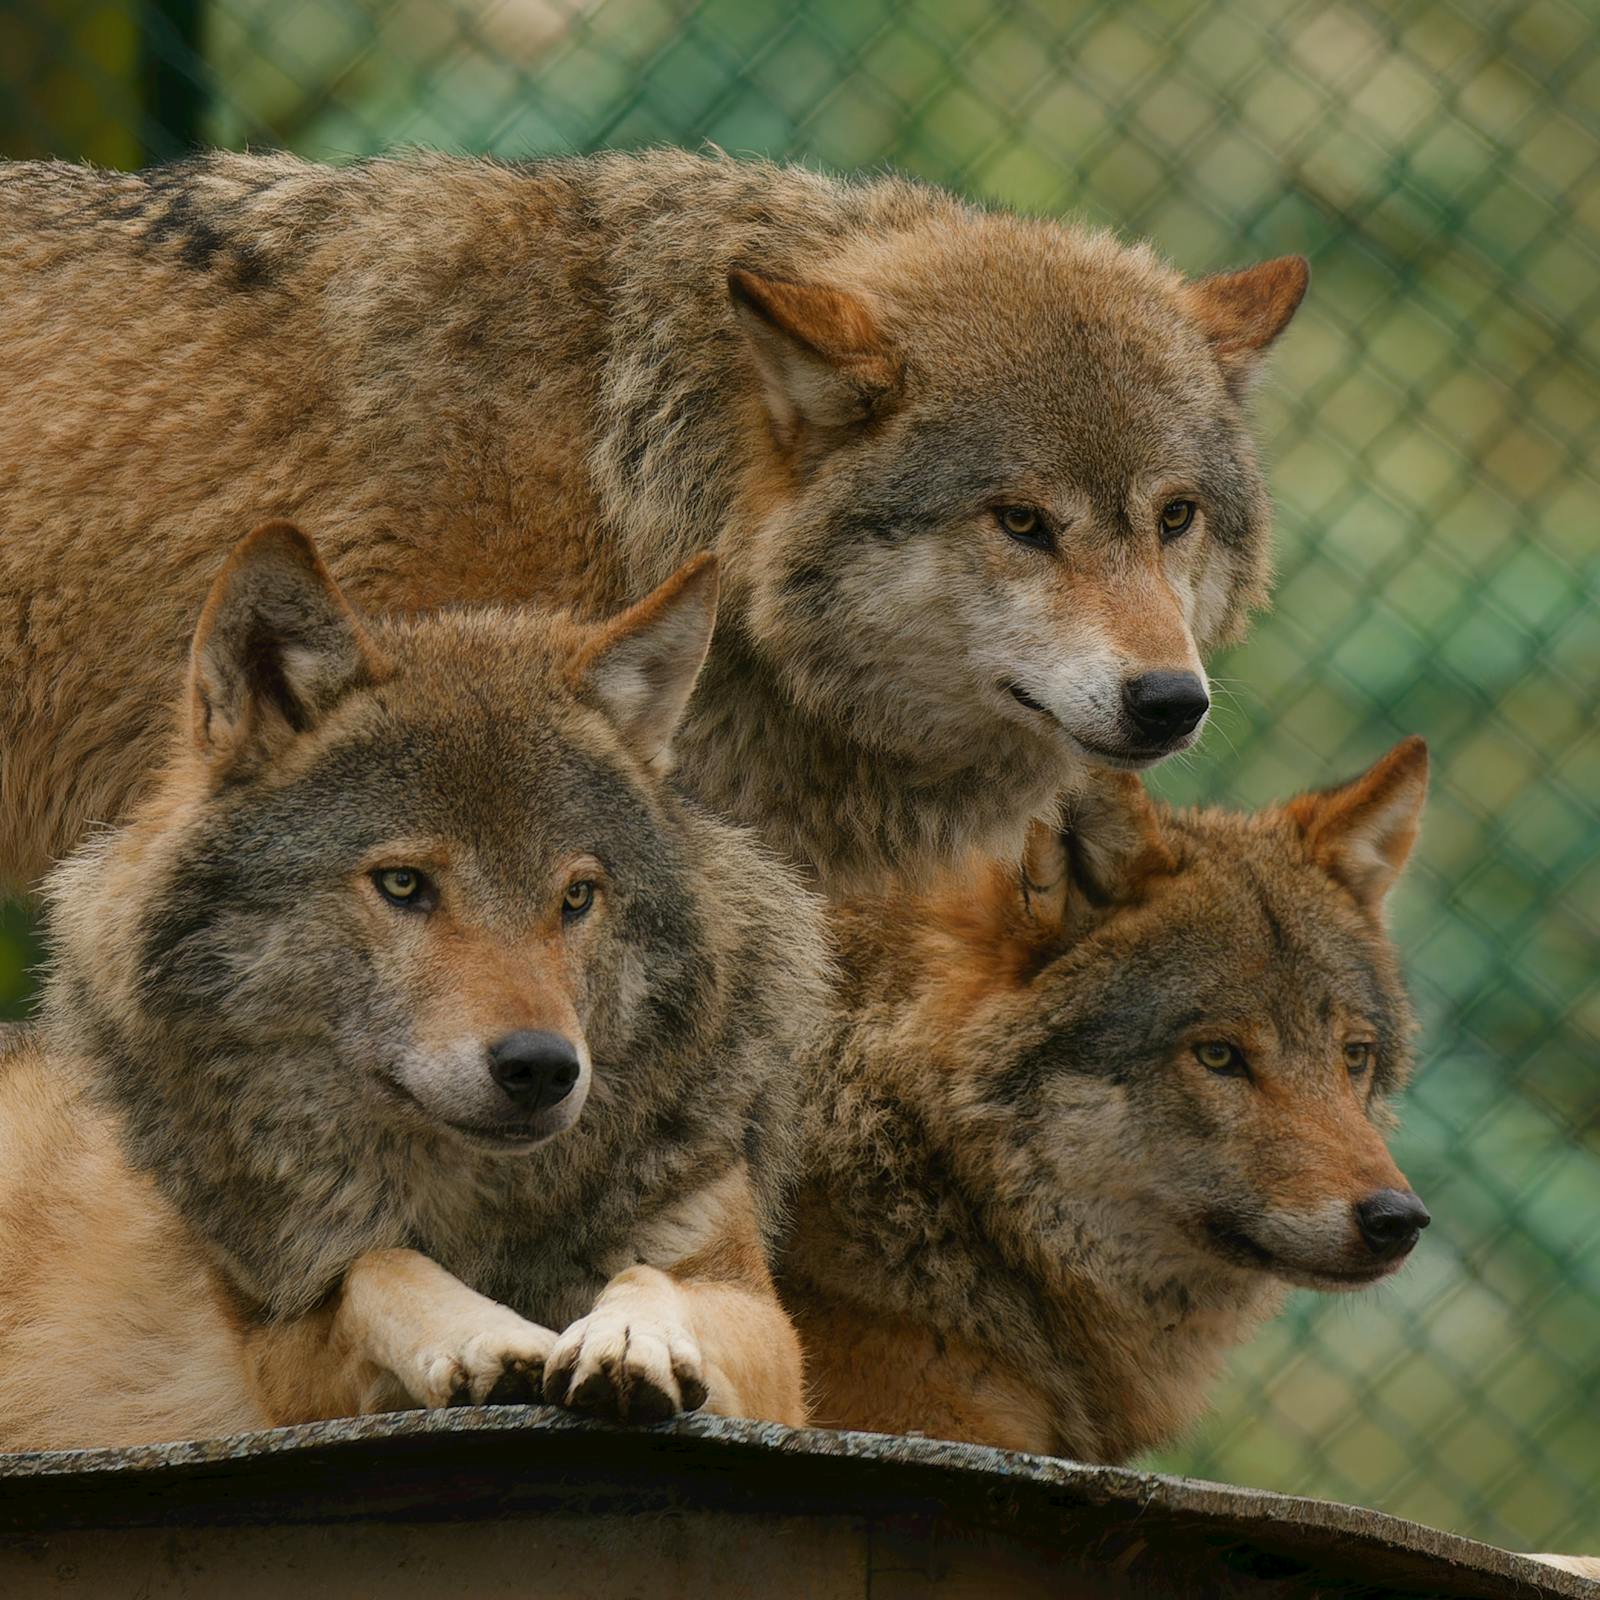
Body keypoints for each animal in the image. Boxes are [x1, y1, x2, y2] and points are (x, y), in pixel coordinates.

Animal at [0, 520, 828, 1449]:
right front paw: (484, 1335)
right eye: (403, 884)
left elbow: (653, 1279)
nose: (542, 1068)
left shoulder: (764, 1324)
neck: (480, 1212)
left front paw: (625, 1337)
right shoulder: (279, 1352)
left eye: (577, 896)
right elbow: (379, 1263)